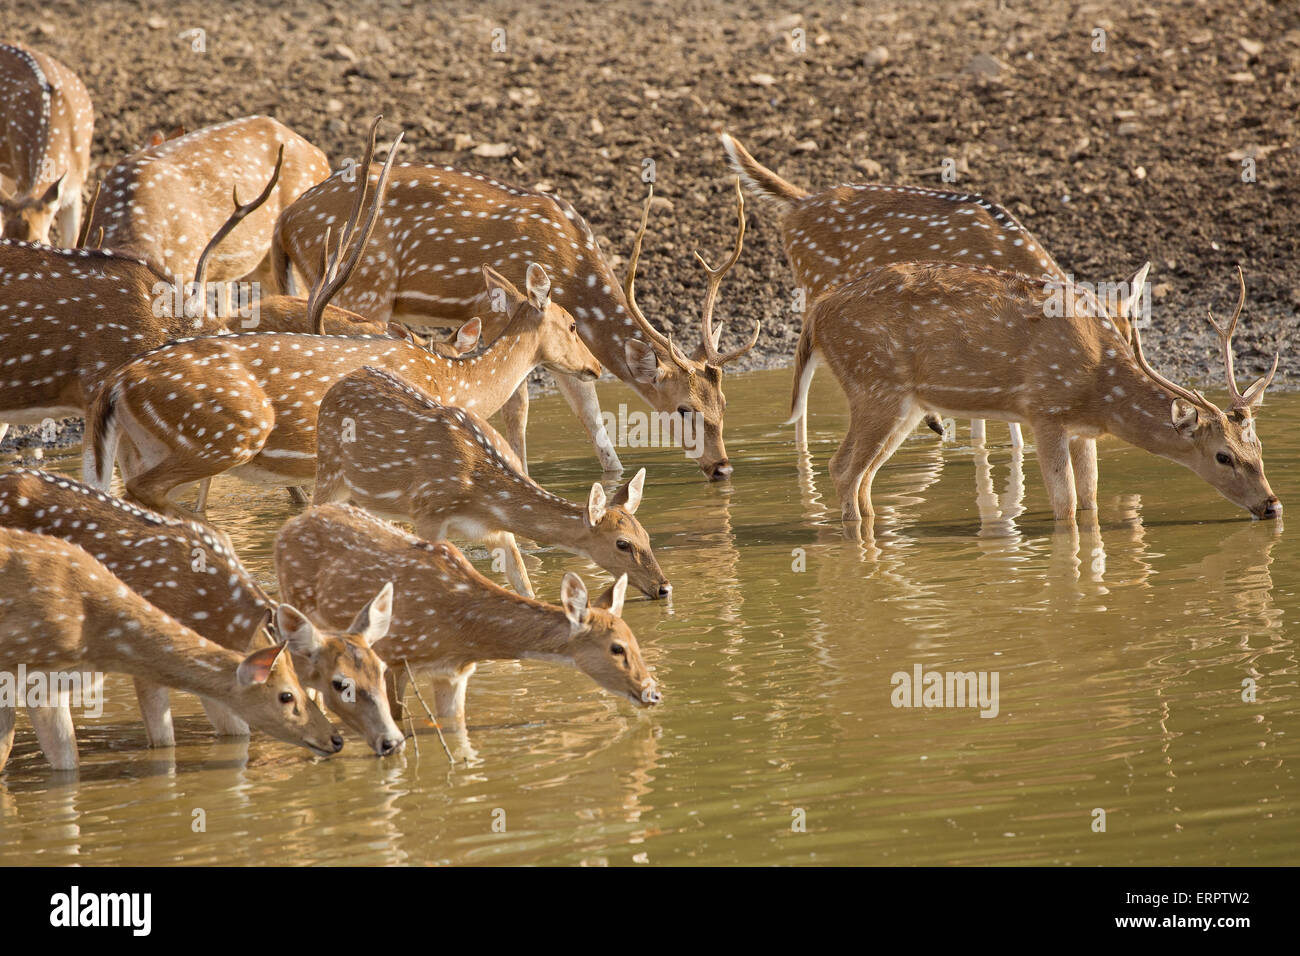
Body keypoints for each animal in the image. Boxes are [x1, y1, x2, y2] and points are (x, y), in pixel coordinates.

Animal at [271, 160, 759, 480]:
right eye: (685, 409)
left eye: (724, 404)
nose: (722, 467)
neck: (571, 268)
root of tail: (283, 221)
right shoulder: (497, 309)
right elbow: (517, 406)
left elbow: (589, 411)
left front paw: (615, 478)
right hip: (365, 286)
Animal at [275, 503, 662, 729]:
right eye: (616, 648)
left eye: (636, 640)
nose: (652, 693)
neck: (462, 630)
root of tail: (287, 526)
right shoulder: (393, 658)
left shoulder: (454, 674)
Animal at [314, 365, 671, 599]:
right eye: (622, 543)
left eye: (646, 535)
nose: (664, 587)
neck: (481, 495)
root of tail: (338, 382)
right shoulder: (427, 512)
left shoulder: (497, 531)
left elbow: (525, 588)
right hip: (328, 468)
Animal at [788, 260, 1281, 526]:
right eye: (1223, 456)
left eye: (1258, 447)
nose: (1272, 505)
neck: (1099, 392)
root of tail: (815, 317)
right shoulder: (1045, 409)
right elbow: (1065, 504)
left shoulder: (1083, 431)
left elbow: (1090, 499)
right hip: (875, 384)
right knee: (843, 468)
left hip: (905, 405)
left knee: (863, 475)